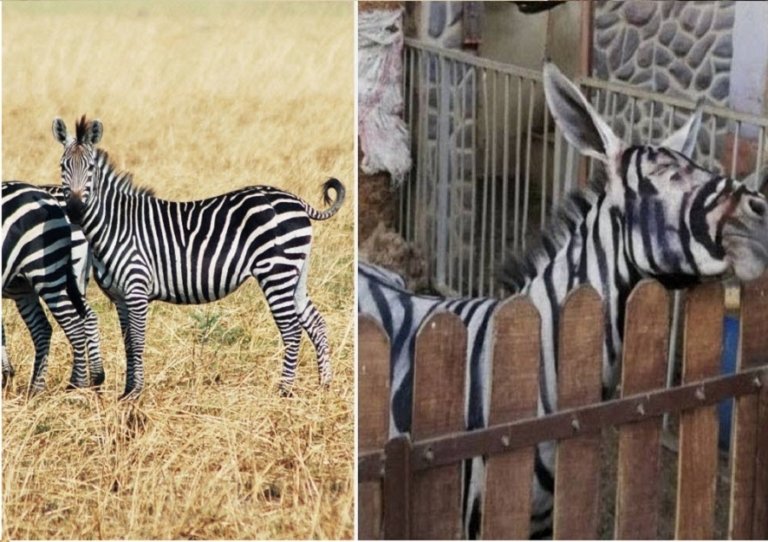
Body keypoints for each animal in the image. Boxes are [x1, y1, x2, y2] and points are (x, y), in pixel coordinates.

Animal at [2, 181, 103, 392]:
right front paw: (6, 376)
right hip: (69, 280)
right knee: (86, 317)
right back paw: (95, 379)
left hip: (50, 273)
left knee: (75, 322)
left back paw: (77, 384)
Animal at [52, 115, 346, 399]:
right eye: (63, 166)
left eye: (91, 168)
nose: (75, 210)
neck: (114, 225)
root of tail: (296, 201)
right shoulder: (120, 297)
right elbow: (127, 344)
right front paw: (126, 393)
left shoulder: (136, 290)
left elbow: (136, 343)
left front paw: (135, 394)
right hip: (295, 273)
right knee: (316, 323)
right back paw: (324, 385)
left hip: (276, 272)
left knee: (292, 330)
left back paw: (285, 391)